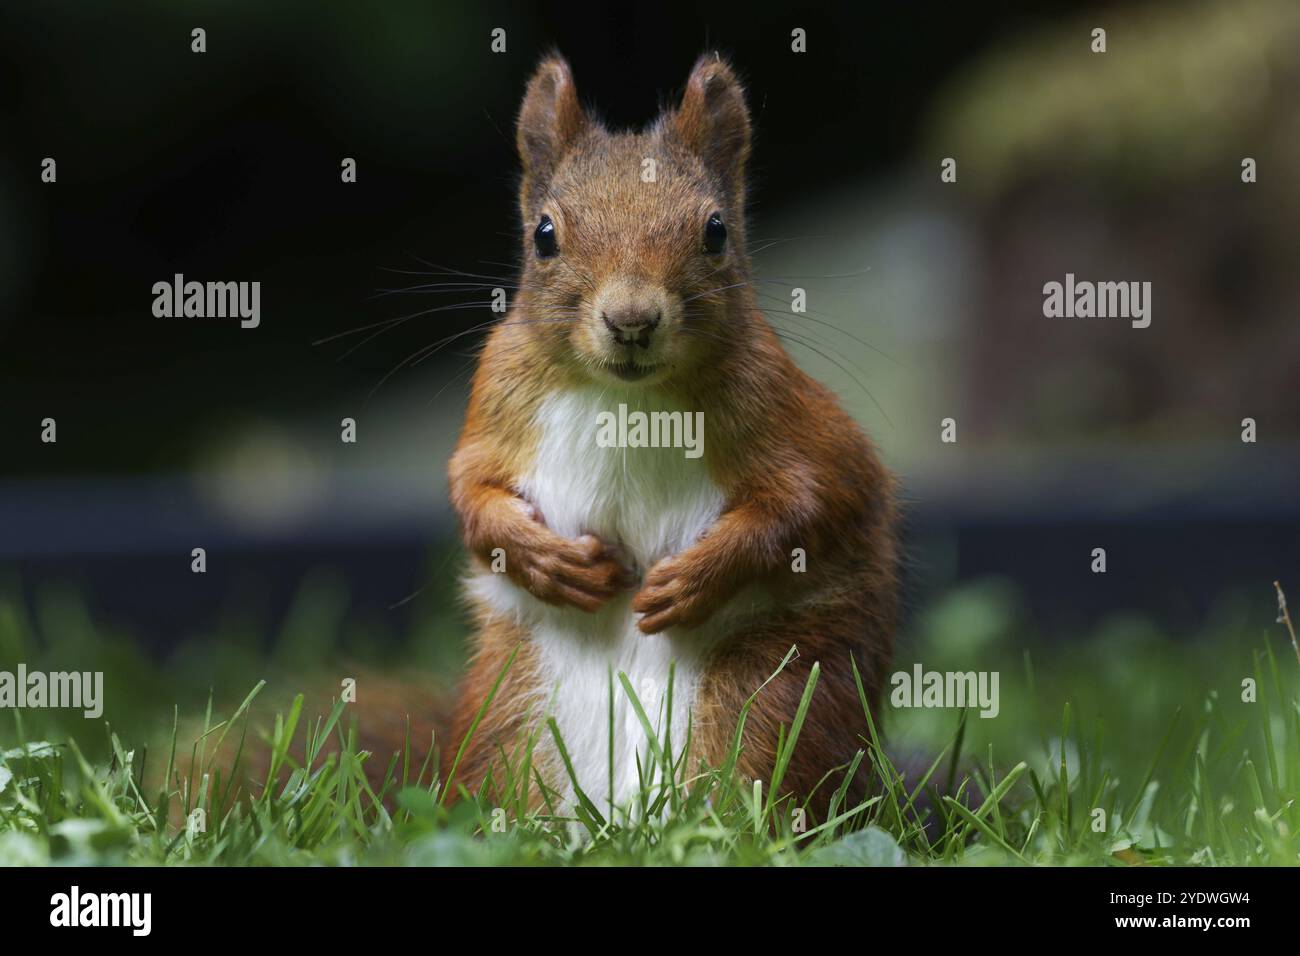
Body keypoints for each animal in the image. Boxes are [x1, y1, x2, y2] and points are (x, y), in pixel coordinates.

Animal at [441, 52, 899, 819]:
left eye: (714, 231)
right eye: (544, 235)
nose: (631, 320)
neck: (628, 401)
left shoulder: (796, 421)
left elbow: (807, 503)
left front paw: (693, 578)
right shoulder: (496, 407)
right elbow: (471, 493)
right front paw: (548, 560)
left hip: (769, 695)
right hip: (506, 716)